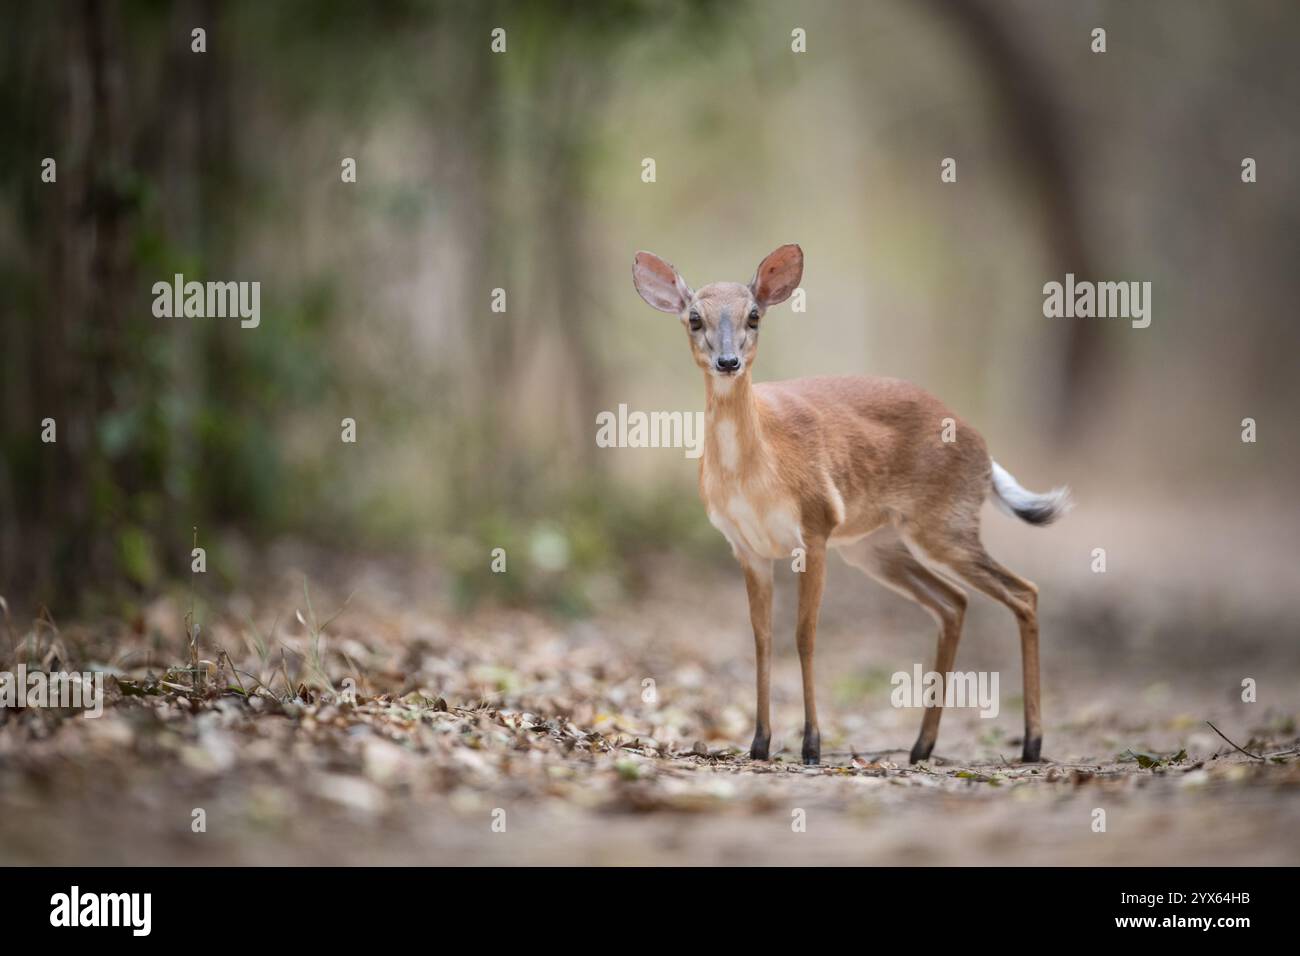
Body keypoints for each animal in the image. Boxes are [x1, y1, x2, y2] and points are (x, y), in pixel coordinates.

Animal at [632, 244, 1071, 766]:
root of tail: (984, 451)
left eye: (754, 315)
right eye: (694, 318)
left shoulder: (816, 526)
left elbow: (804, 635)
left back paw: (1031, 744)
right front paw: (759, 744)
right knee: (954, 603)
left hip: (942, 524)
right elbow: (762, 638)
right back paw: (922, 746)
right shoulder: (747, 546)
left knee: (1023, 592)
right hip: (875, 546)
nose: (727, 360)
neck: (756, 471)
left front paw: (811, 745)